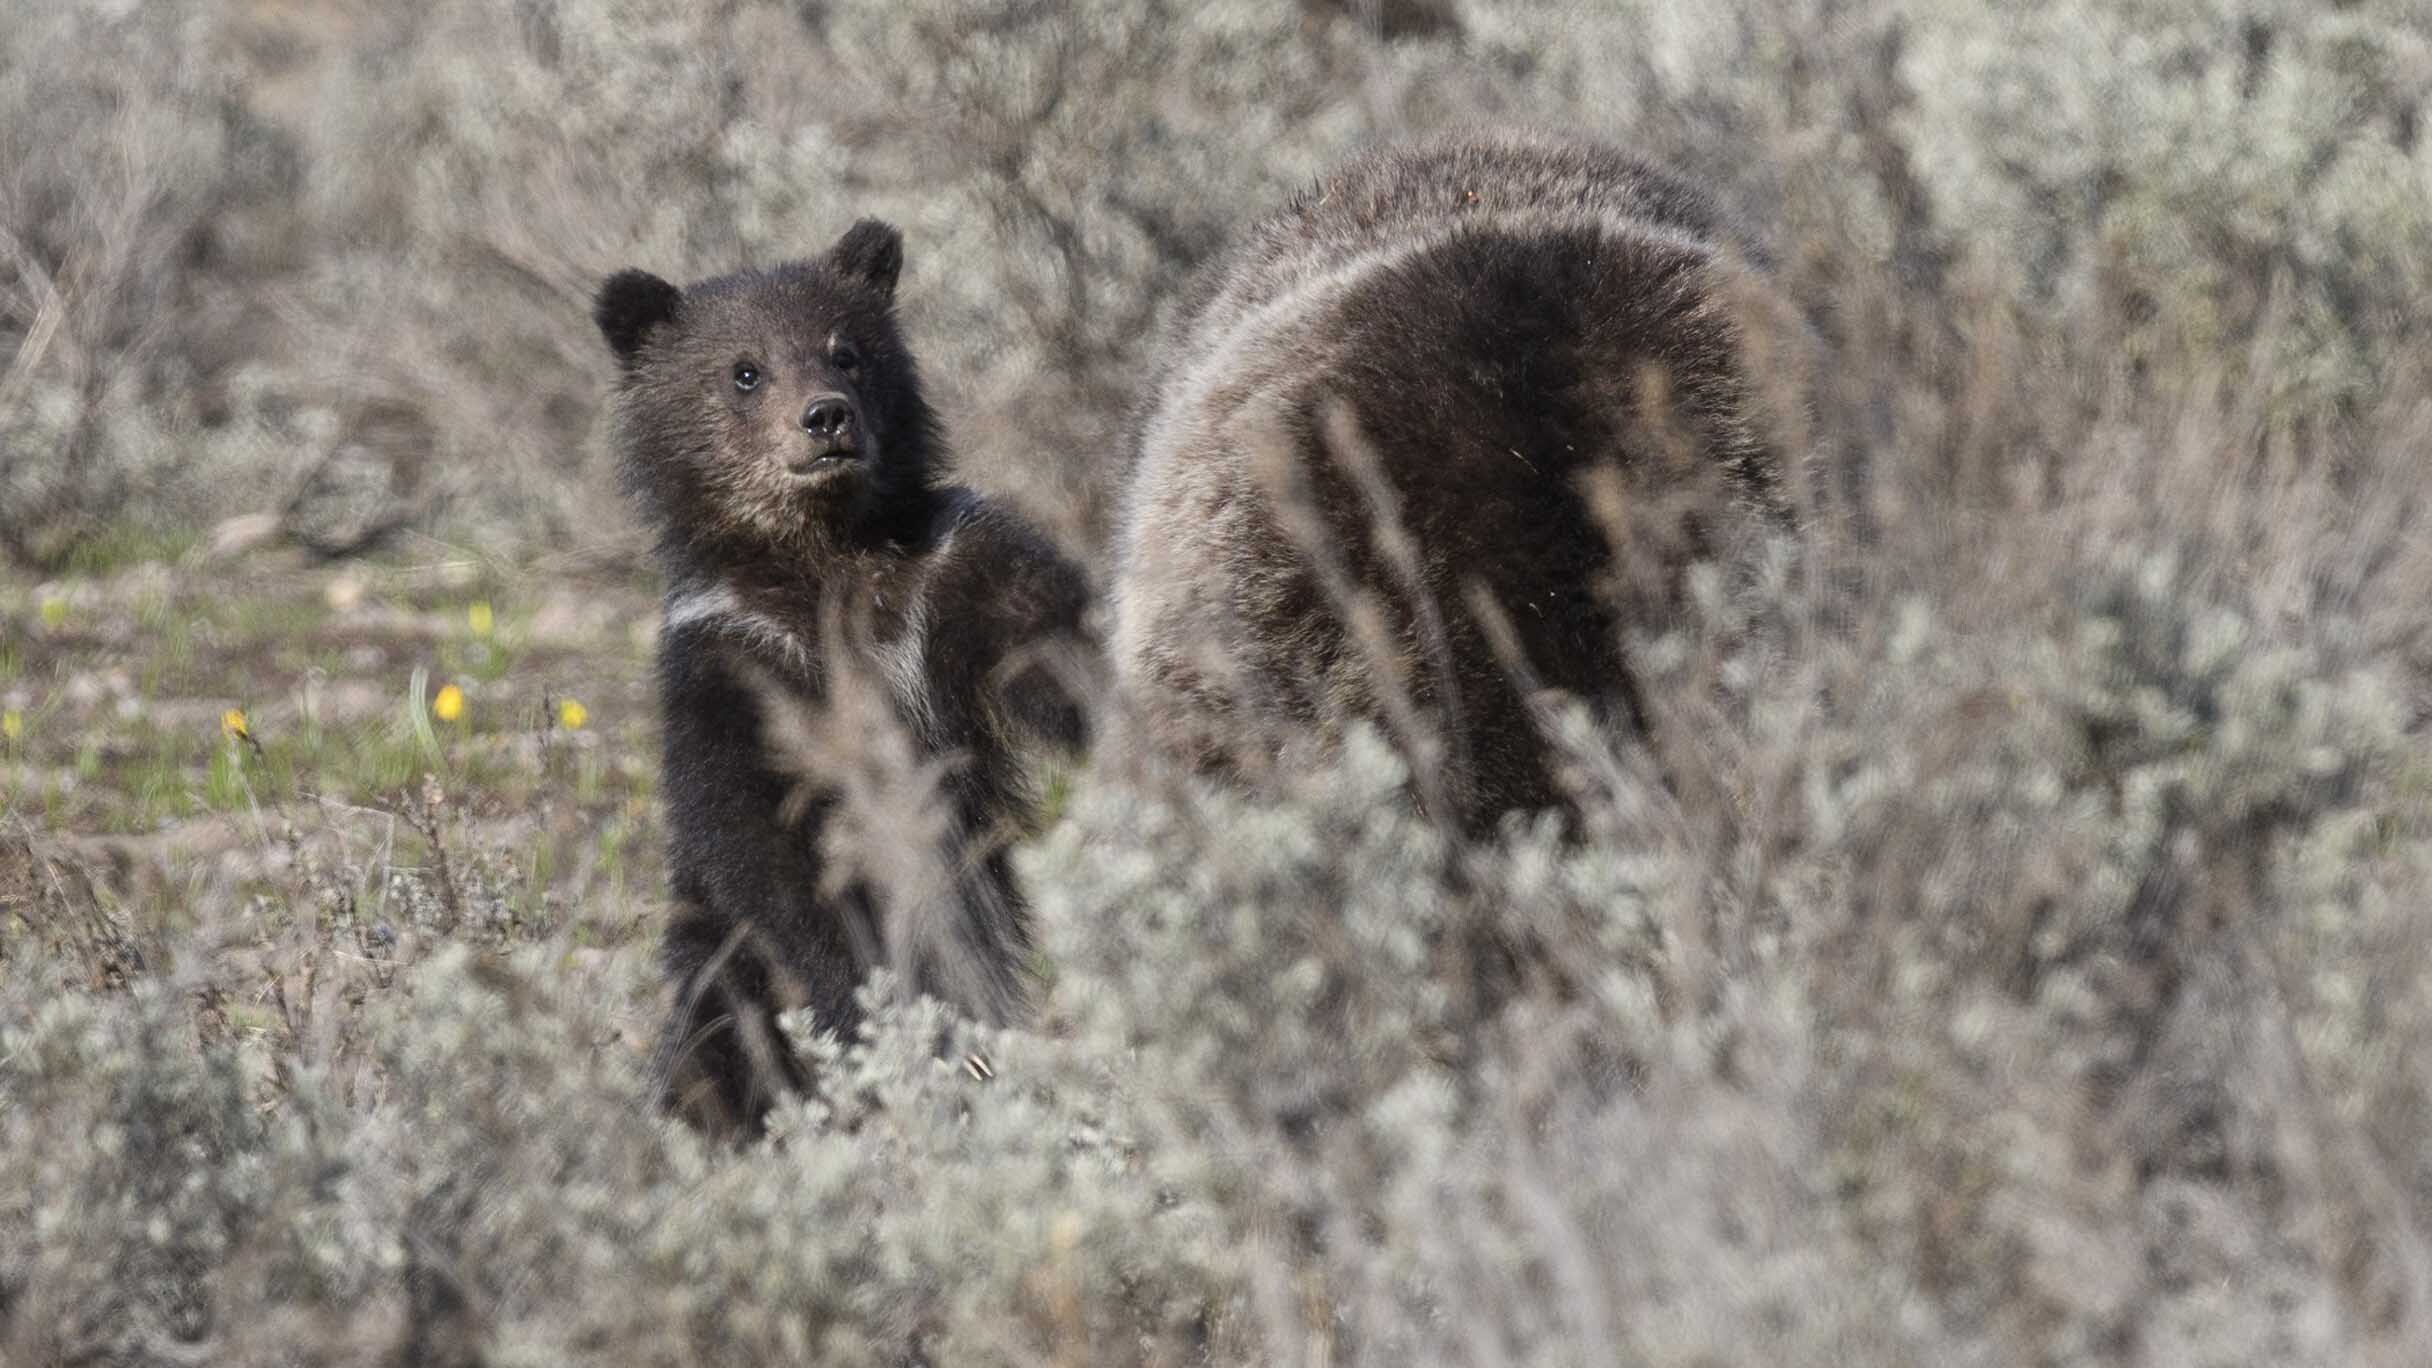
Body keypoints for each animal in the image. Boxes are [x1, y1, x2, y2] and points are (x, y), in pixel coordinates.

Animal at [596, 220, 1094, 1137]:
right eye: (744, 369)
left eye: (848, 351)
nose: (825, 416)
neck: (823, 558)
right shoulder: (735, 665)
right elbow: (767, 851)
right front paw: (866, 1007)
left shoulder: (945, 583)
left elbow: (1055, 639)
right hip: (719, 963)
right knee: (718, 1034)